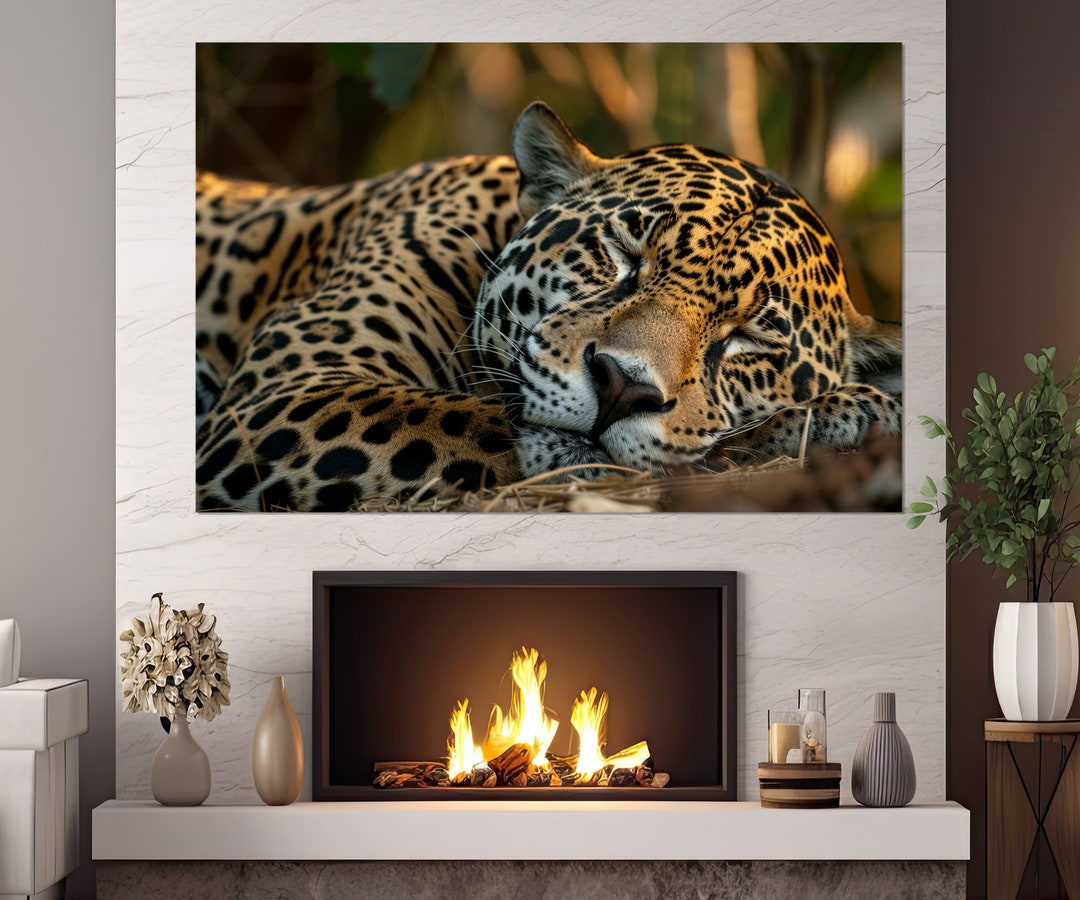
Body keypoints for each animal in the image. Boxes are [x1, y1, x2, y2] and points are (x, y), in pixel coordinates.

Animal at [195, 101, 902, 511]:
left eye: (750, 338)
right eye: (623, 252)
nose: (622, 387)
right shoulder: (283, 395)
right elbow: (465, 416)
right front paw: (838, 419)